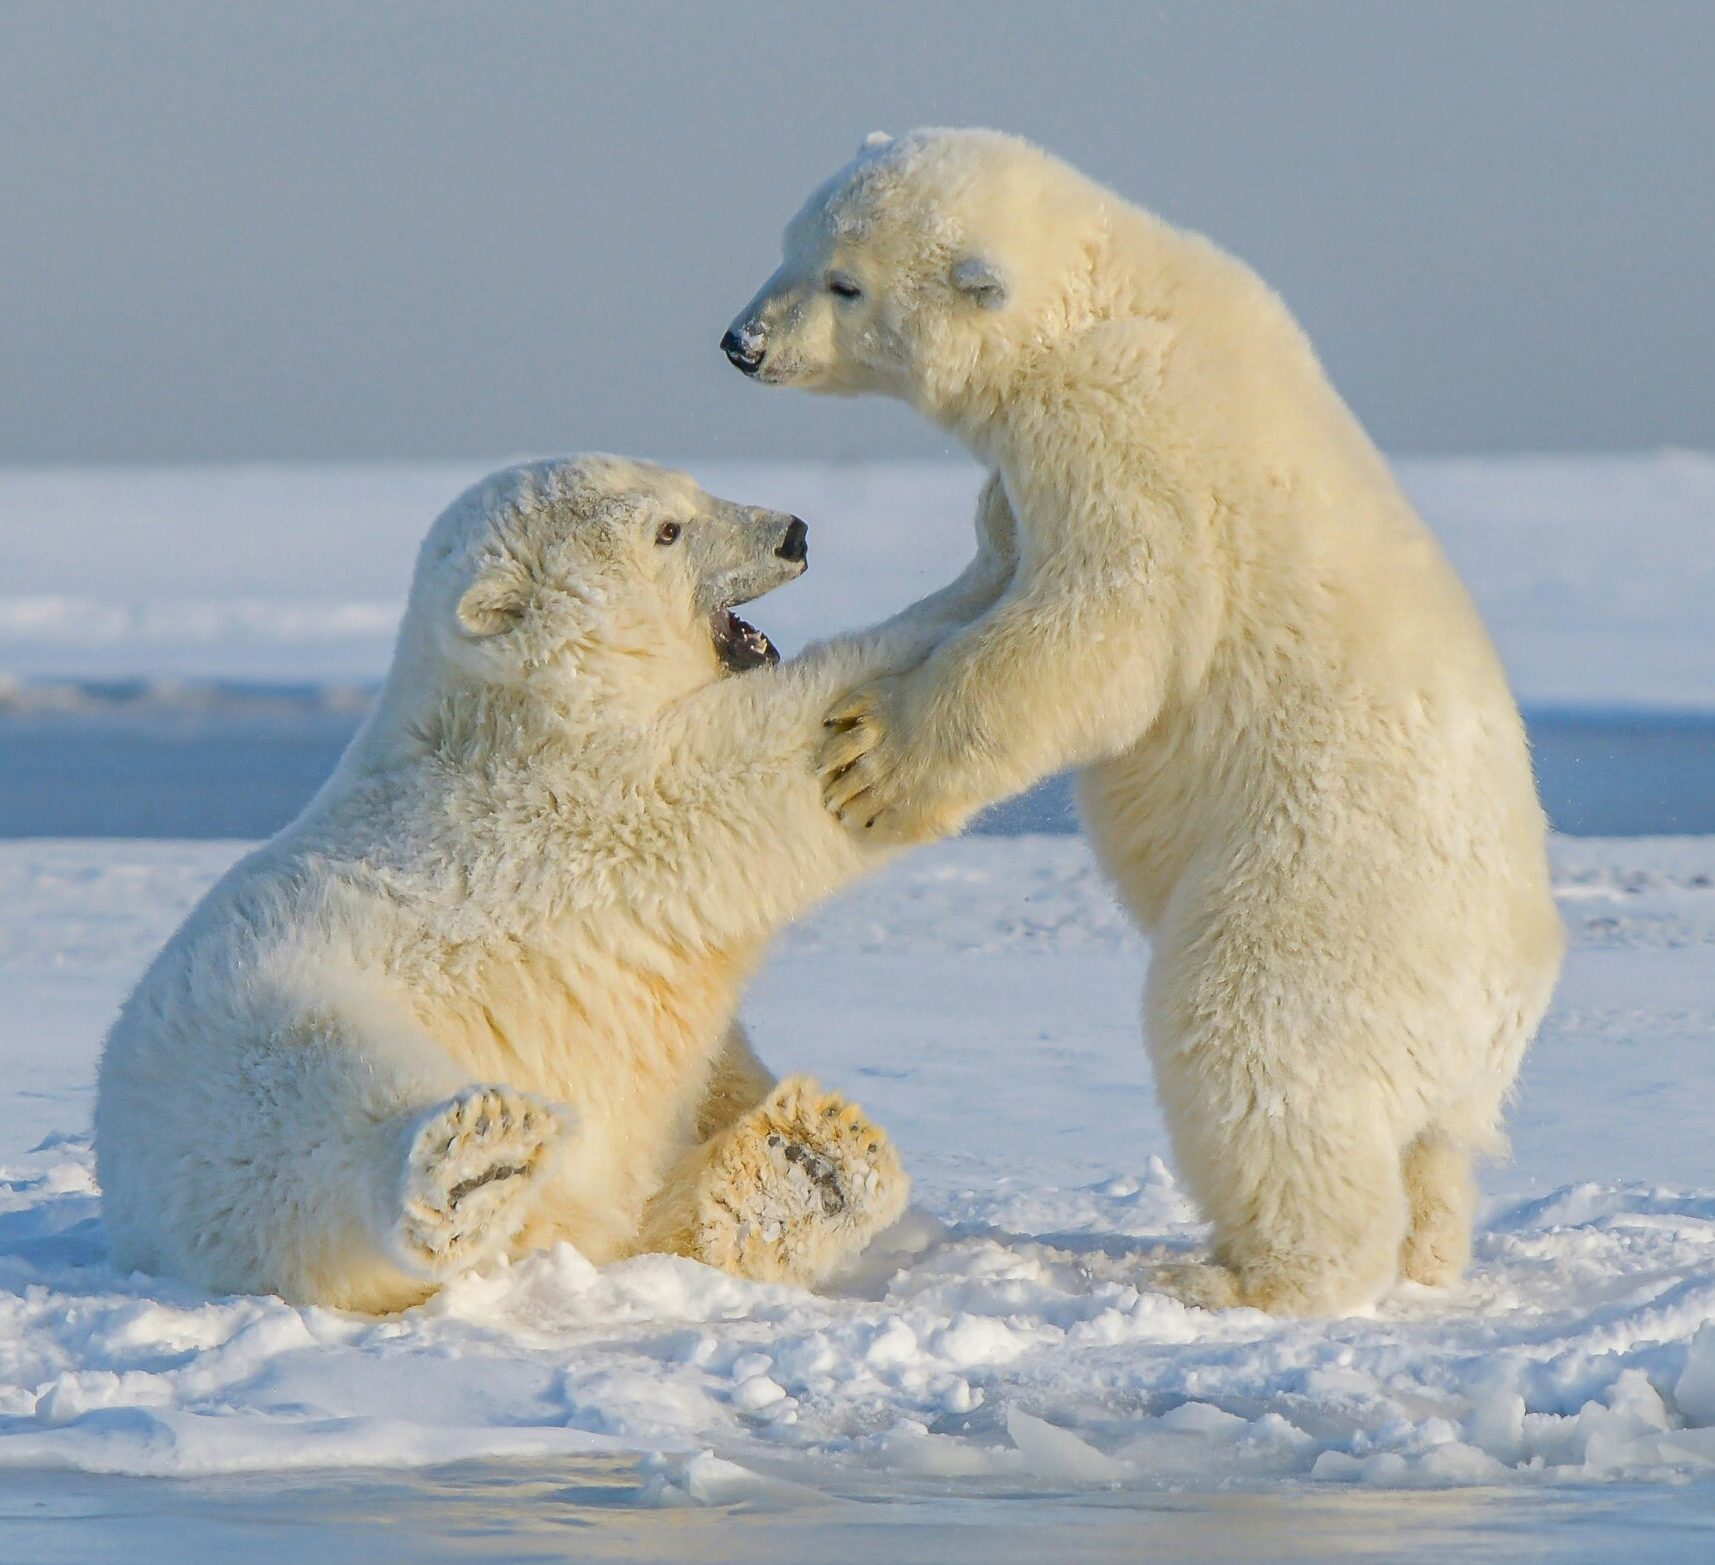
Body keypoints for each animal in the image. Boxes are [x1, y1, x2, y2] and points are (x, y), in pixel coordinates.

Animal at [95, 455, 952, 1313]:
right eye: (667, 528)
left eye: (692, 485)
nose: (792, 533)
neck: (513, 708)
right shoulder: (579, 797)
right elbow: (751, 766)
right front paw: (958, 616)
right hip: (256, 1029)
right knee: (318, 1099)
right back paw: (477, 1162)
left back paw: (809, 1160)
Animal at [722, 128, 1565, 1316]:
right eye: (790, 244)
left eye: (844, 282)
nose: (741, 342)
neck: (1109, 292)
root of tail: (1505, 999)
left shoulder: (1126, 440)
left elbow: (1103, 623)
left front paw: (871, 760)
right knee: (1431, 1144)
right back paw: (1426, 1251)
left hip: (1321, 896)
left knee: (1251, 1046)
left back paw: (1244, 1275)